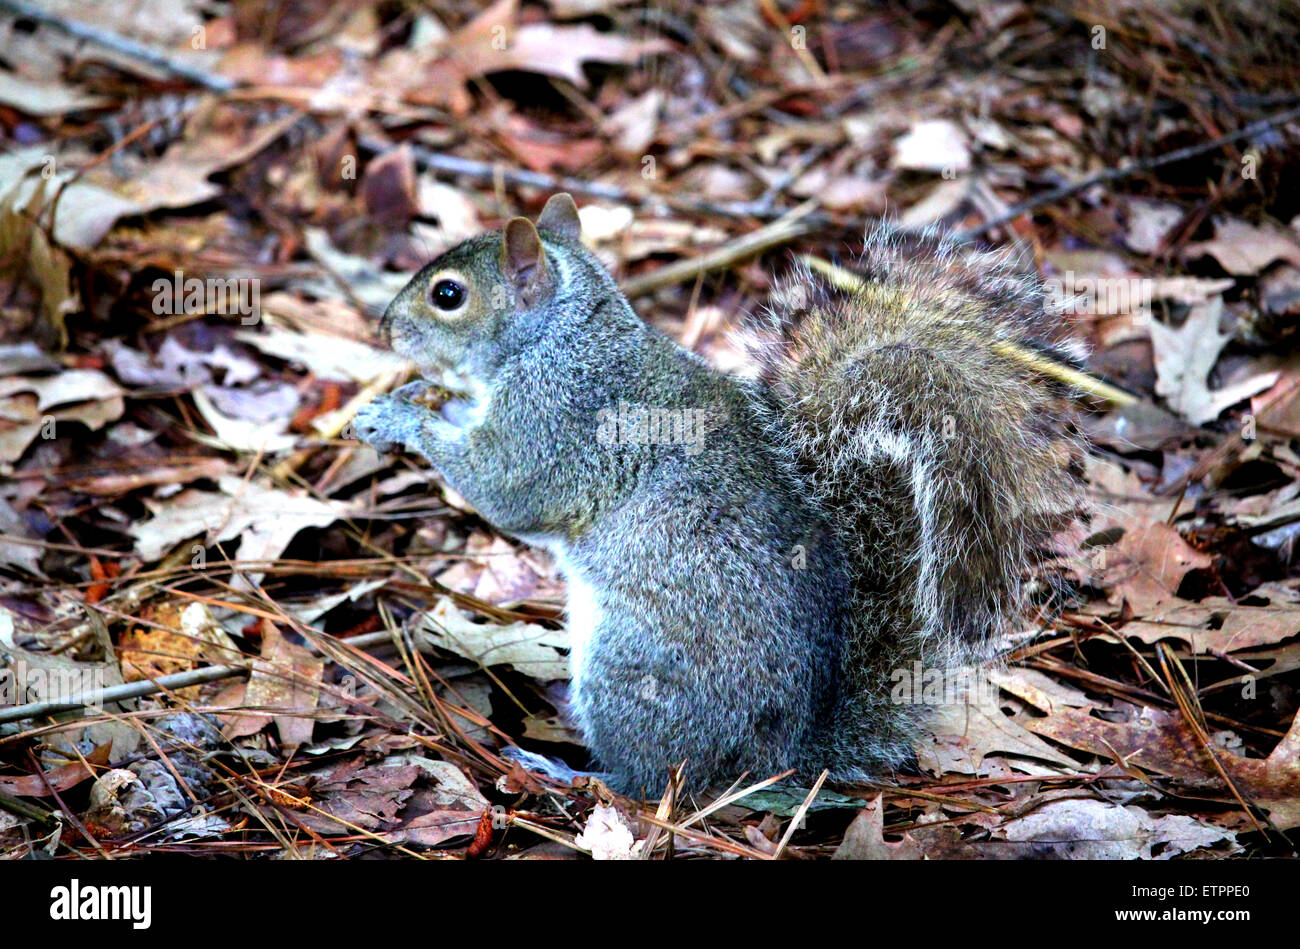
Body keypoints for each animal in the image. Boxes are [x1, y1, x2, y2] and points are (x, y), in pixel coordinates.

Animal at [352, 193, 1082, 796]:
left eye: (449, 294)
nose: (383, 329)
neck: (560, 337)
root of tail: (779, 758)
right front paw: (422, 396)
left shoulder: (555, 422)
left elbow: (507, 489)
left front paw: (399, 416)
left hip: (632, 670)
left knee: (650, 777)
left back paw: (568, 770)